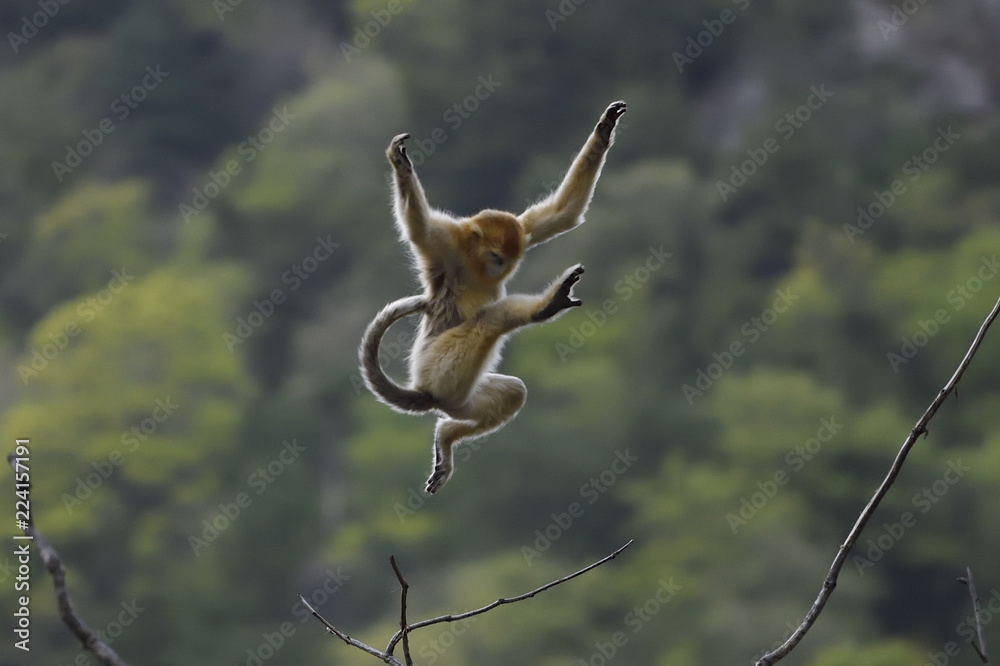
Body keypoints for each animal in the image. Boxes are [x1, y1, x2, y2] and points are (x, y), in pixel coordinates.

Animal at [360, 100, 626, 493]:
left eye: (510, 259)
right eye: (497, 258)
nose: (504, 270)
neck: (472, 264)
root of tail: (429, 394)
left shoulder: (521, 231)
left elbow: (563, 215)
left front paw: (605, 129)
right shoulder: (446, 245)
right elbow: (419, 229)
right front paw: (400, 163)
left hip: (464, 397)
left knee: (511, 391)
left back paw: (447, 435)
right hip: (439, 370)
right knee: (491, 320)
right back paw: (547, 305)